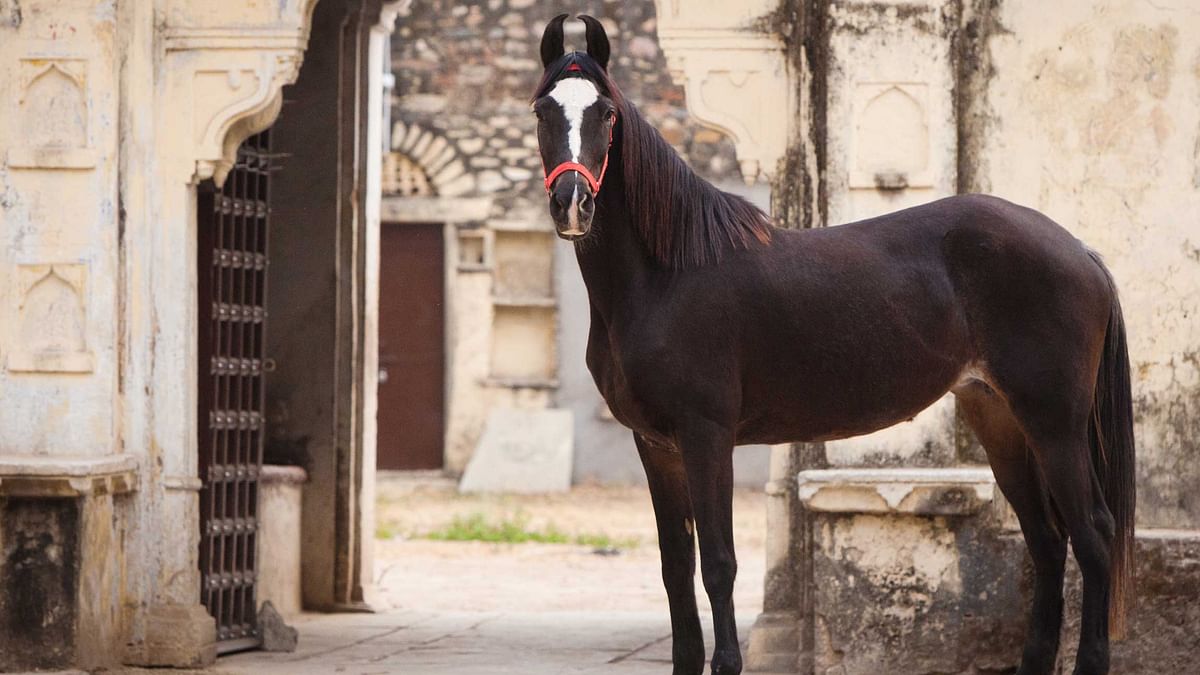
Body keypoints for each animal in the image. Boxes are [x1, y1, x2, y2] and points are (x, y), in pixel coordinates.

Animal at [532, 14, 1135, 675]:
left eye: (607, 113)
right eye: (542, 110)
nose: (572, 204)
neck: (666, 275)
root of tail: (1080, 251)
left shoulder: (705, 435)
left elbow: (718, 564)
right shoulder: (655, 445)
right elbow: (675, 569)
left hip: (1055, 424)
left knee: (1093, 536)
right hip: (1000, 418)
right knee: (1048, 543)